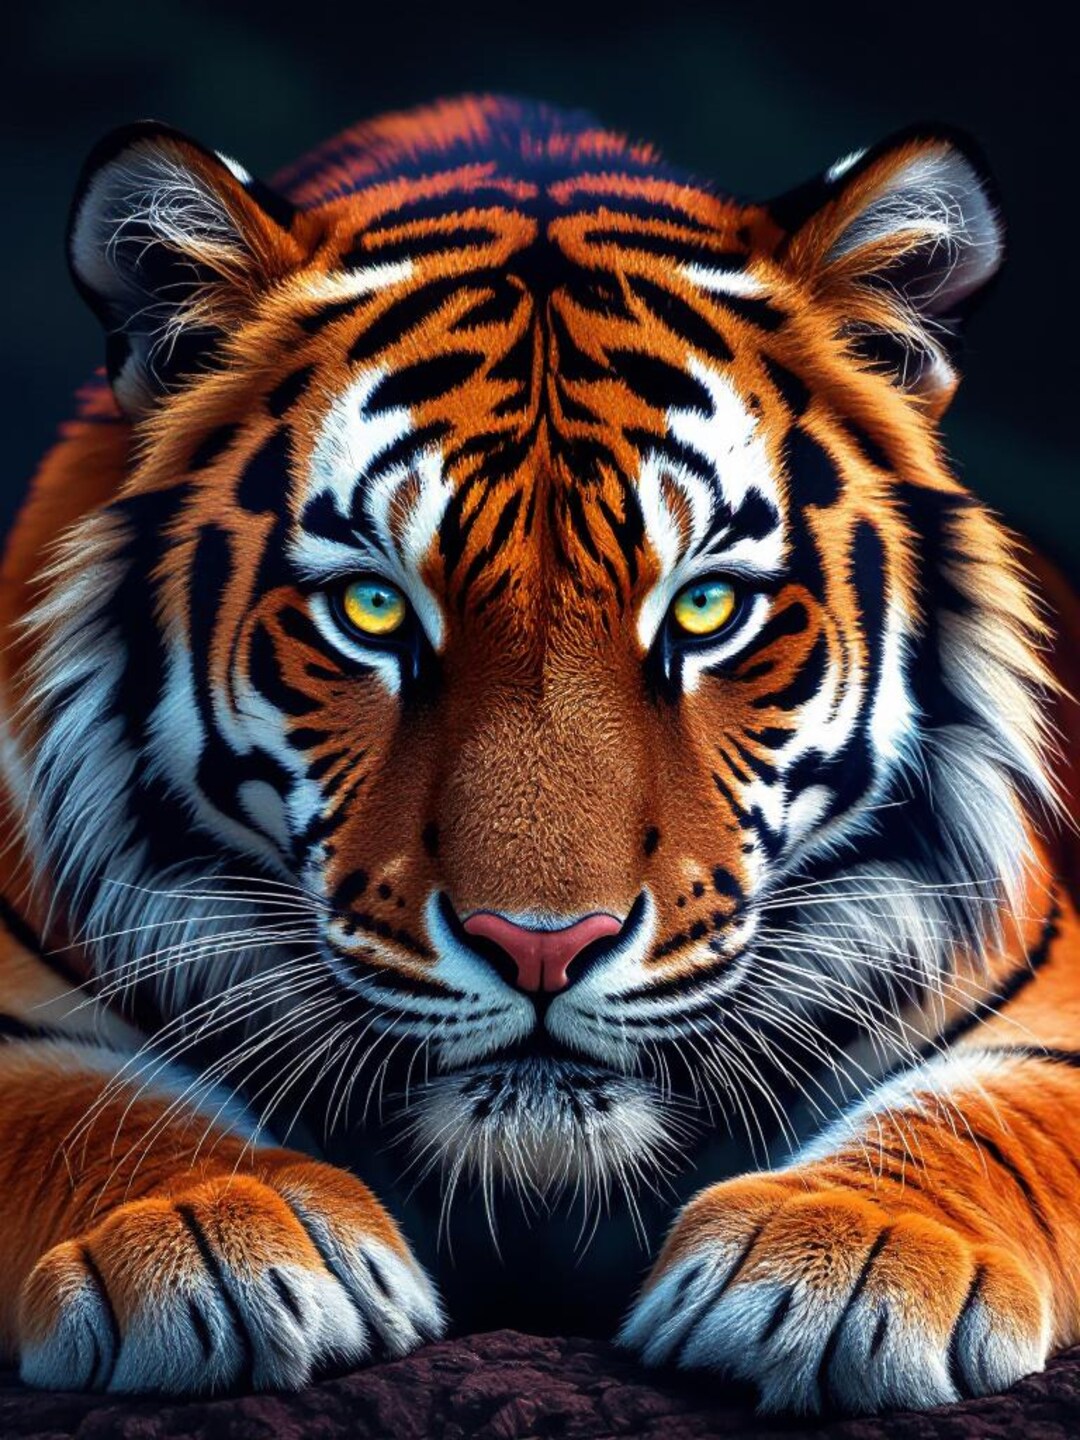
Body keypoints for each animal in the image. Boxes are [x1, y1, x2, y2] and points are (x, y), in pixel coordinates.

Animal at [0, 93, 1078, 1414]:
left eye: (708, 607)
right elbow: (82, 1104)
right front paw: (214, 1233)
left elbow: (987, 1114)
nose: (542, 948)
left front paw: (849, 1259)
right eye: (371, 609)